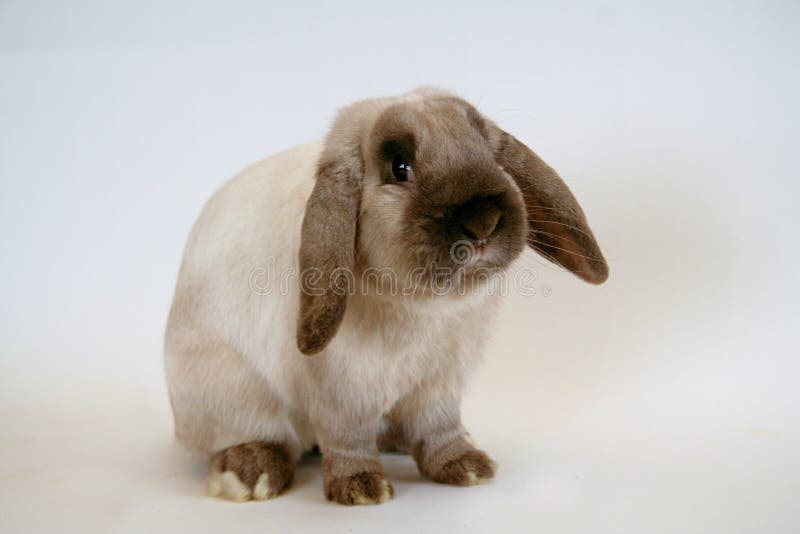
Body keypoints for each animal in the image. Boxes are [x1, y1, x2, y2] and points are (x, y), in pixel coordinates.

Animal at [164, 87, 608, 505]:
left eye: (490, 154)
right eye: (400, 168)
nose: (483, 221)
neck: (425, 305)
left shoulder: (440, 384)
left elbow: (439, 428)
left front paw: (467, 466)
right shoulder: (343, 389)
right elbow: (348, 439)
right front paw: (361, 488)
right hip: (230, 390)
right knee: (257, 436)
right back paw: (248, 473)